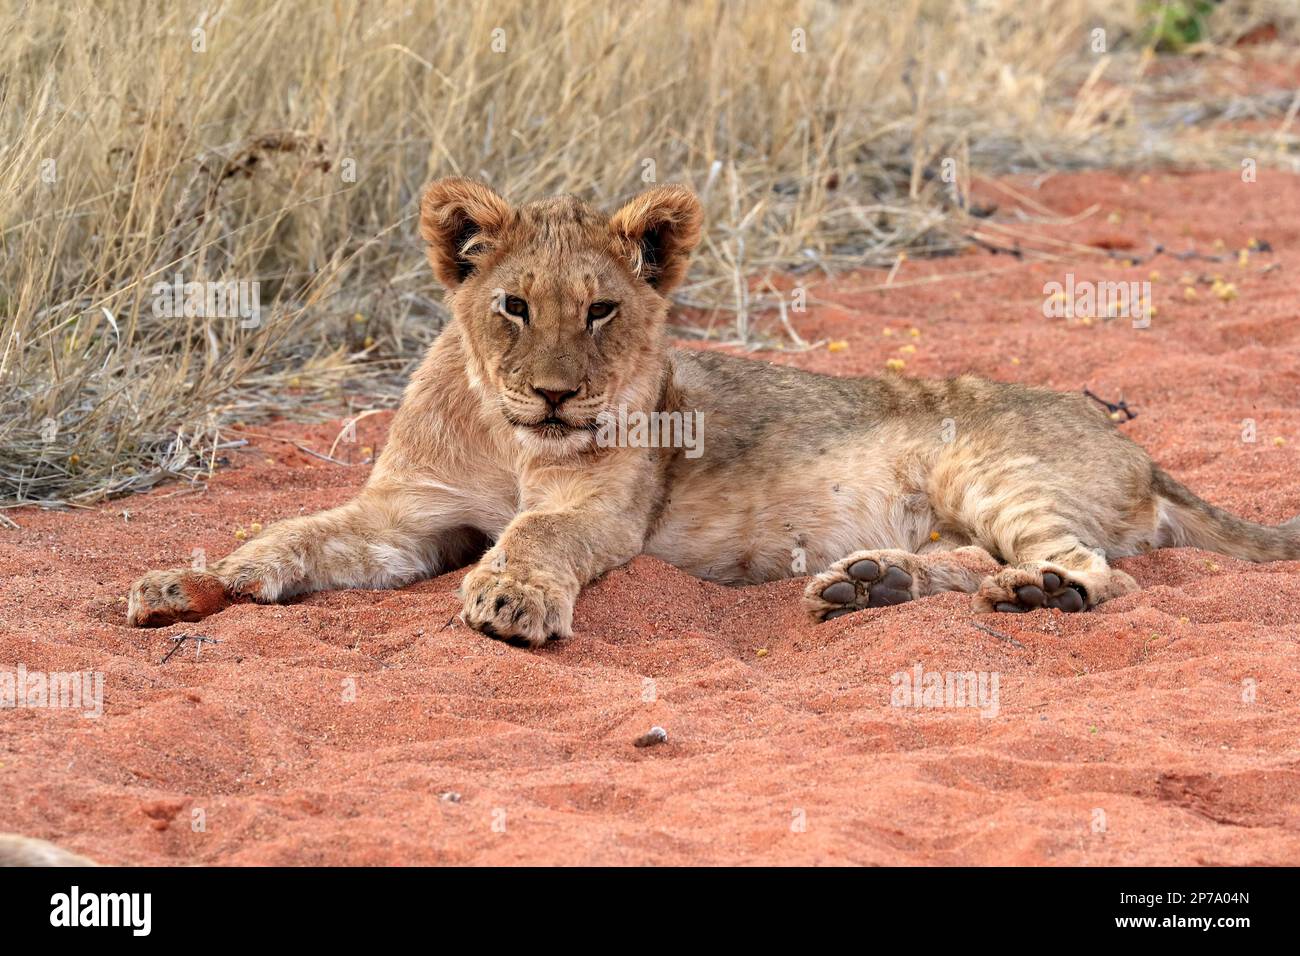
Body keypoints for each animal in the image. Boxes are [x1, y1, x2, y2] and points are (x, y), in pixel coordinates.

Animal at [127, 178, 1299, 645]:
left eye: (602, 308)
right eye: (512, 304)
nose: (556, 393)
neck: (508, 437)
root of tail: (1129, 441)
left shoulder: (597, 512)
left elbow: (533, 535)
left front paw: (509, 601)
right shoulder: (406, 513)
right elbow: (296, 532)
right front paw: (187, 581)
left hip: (991, 466)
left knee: (1092, 568)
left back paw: (1038, 595)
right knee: (974, 559)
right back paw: (873, 584)